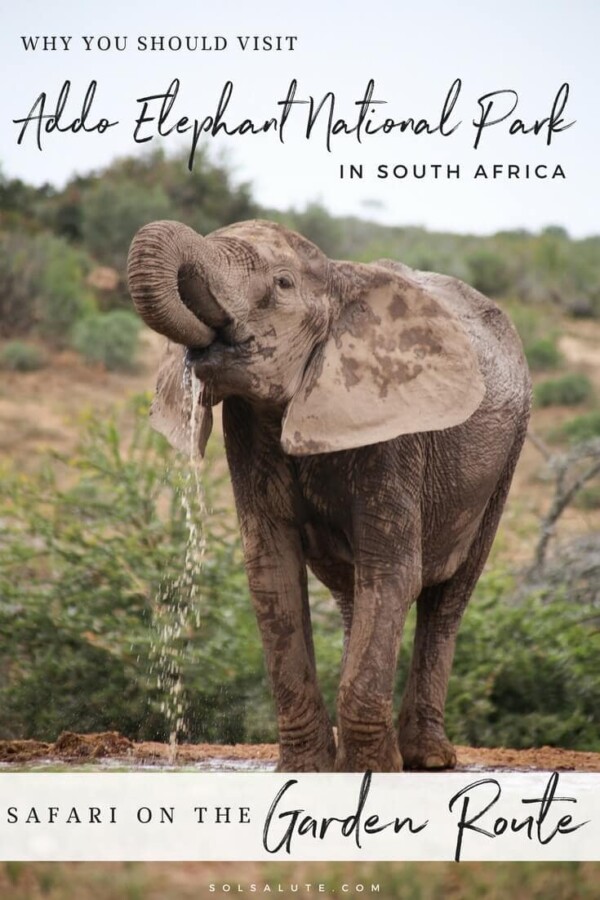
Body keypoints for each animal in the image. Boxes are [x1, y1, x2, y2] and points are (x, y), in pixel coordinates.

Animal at [127, 218, 531, 773]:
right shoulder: (248, 425)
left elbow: (393, 572)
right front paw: (309, 769)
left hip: (505, 458)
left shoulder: (394, 431)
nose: (201, 346)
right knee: (353, 594)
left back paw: (427, 759)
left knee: (447, 598)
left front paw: (369, 771)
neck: (340, 283)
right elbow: (273, 575)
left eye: (282, 284)